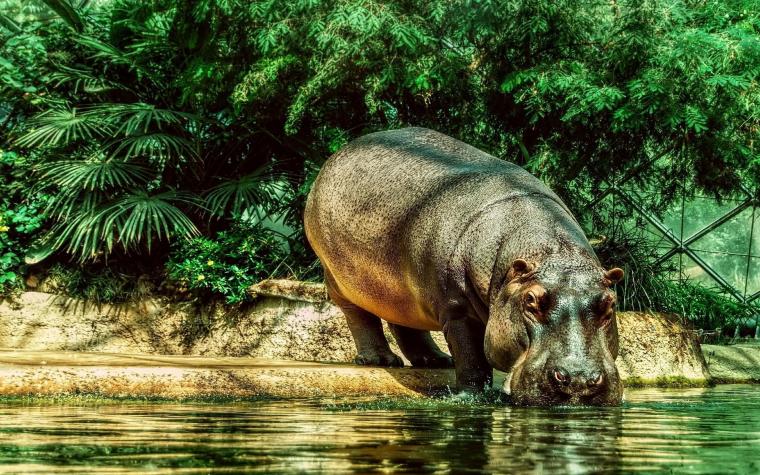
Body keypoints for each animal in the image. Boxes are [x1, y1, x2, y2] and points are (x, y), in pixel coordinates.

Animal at [304, 127, 624, 406]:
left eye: (610, 303)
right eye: (531, 301)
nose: (578, 380)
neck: (552, 253)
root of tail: (338, 154)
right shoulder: (457, 309)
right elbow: (471, 357)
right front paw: (471, 397)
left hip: (397, 287)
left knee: (402, 321)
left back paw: (436, 361)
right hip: (339, 278)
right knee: (360, 316)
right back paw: (381, 360)